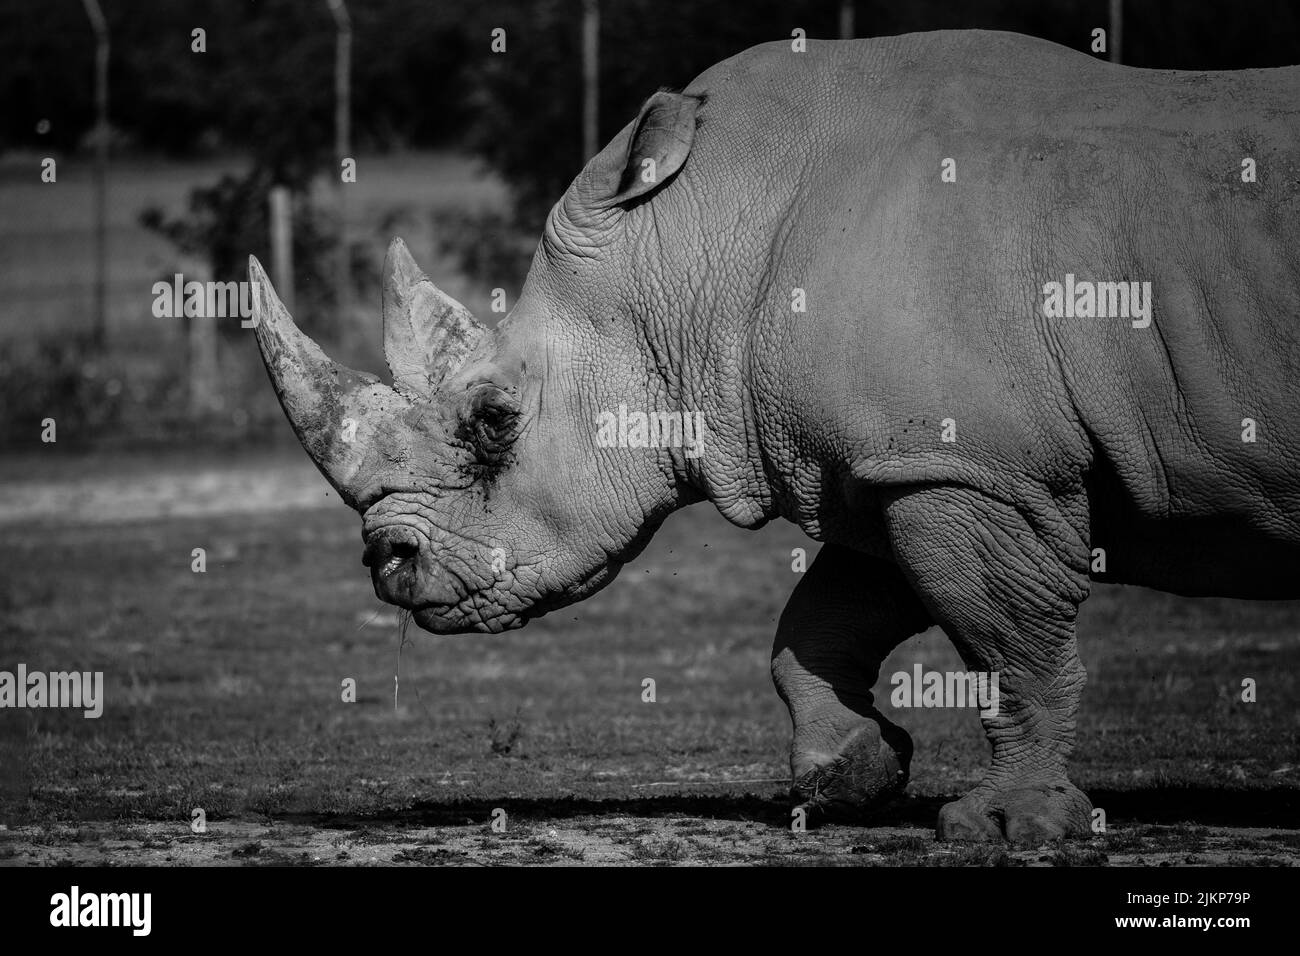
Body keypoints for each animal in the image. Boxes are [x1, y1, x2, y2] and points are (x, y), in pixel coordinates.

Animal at [250, 30, 1300, 844]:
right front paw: (851, 779)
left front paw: (1006, 827)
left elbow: (1008, 641)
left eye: (494, 420)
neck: (693, 247)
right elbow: (818, 622)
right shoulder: (900, 464)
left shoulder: (972, 465)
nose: (386, 562)